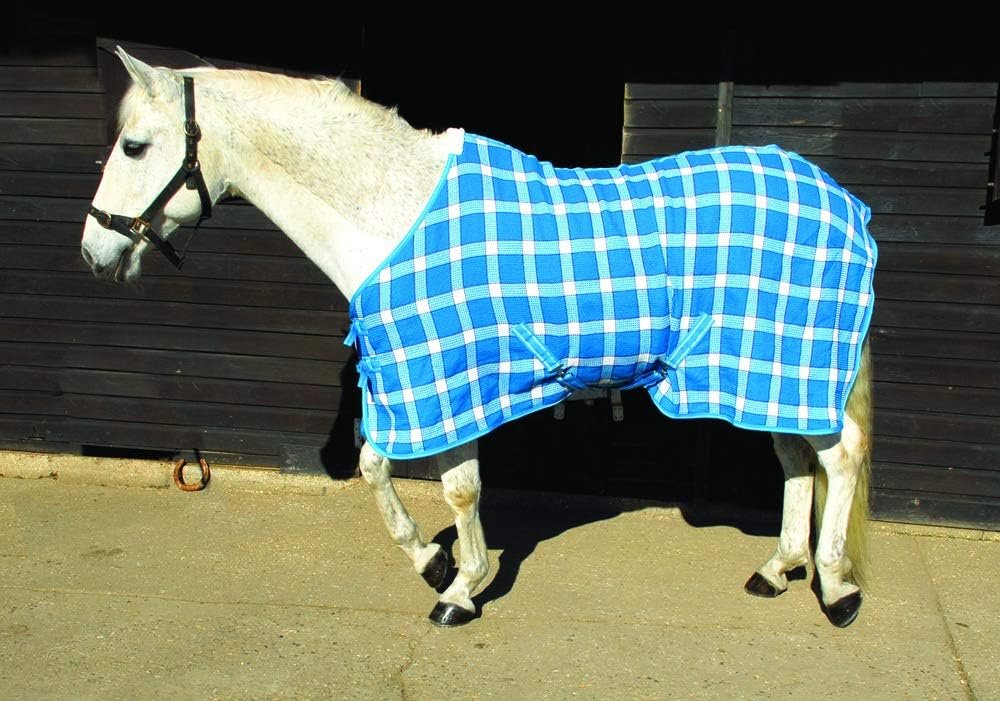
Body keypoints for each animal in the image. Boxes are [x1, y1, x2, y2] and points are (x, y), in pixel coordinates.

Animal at [81, 48, 875, 628]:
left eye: (134, 145)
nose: (94, 251)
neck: (393, 213)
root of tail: (844, 201)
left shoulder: (448, 379)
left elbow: (459, 490)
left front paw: (462, 588)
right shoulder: (415, 383)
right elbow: (377, 469)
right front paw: (434, 565)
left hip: (793, 359)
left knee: (839, 456)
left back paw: (837, 589)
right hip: (765, 370)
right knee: (795, 458)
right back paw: (779, 569)